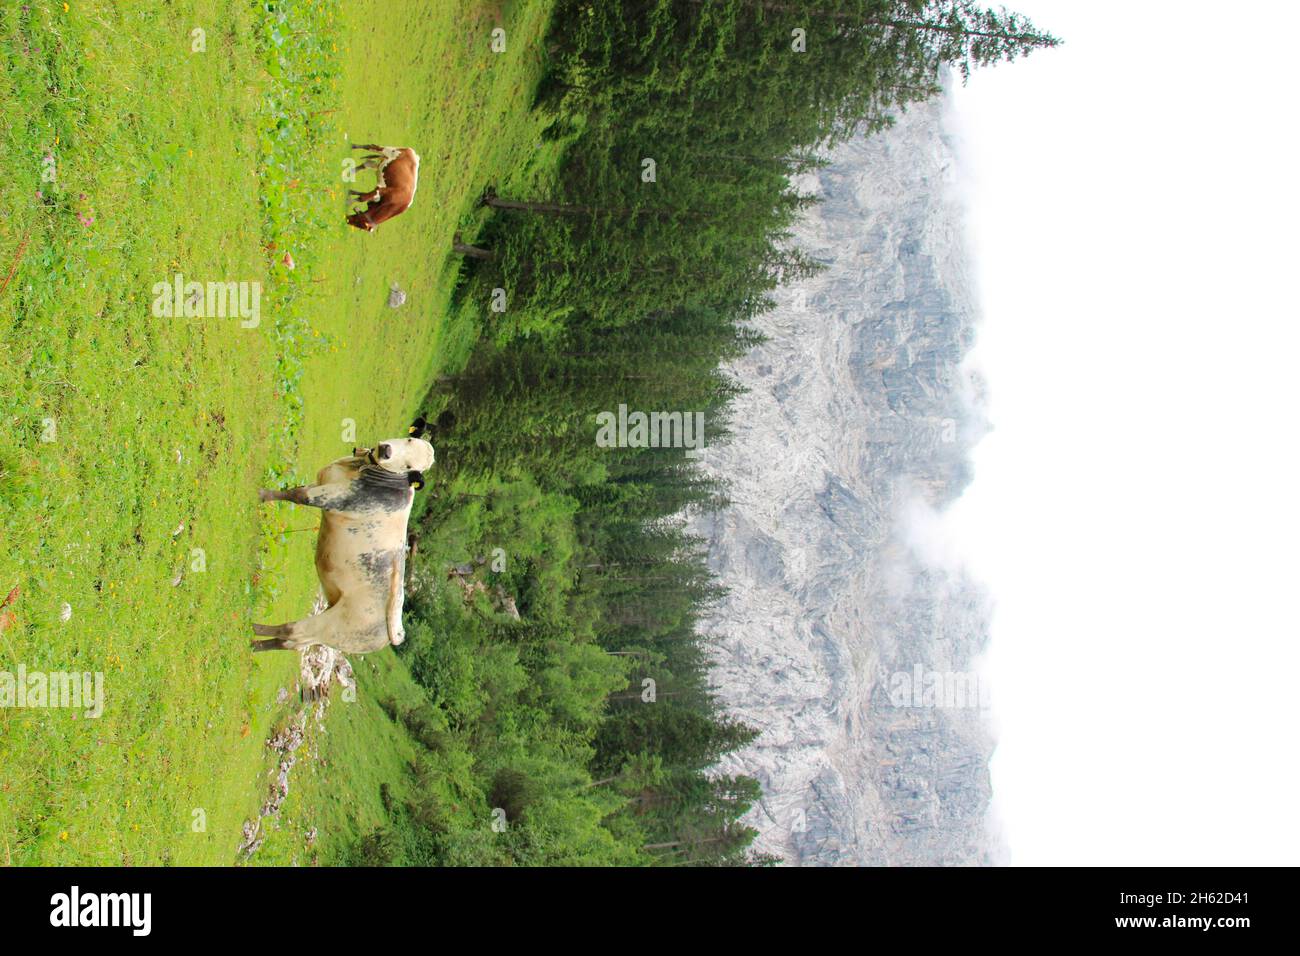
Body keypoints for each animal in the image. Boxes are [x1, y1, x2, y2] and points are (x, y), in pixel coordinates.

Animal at [251, 436, 435, 654]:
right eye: (409, 439)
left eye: (409, 466)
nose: (386, 451)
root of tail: (393, 636)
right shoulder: (323, 482)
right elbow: (295, 490)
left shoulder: (335, 497)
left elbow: (298, 495)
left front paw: (261, 494)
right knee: (291, 642)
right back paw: (252, 642)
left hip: (328, 626)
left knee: (290, 631)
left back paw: (248, 630)